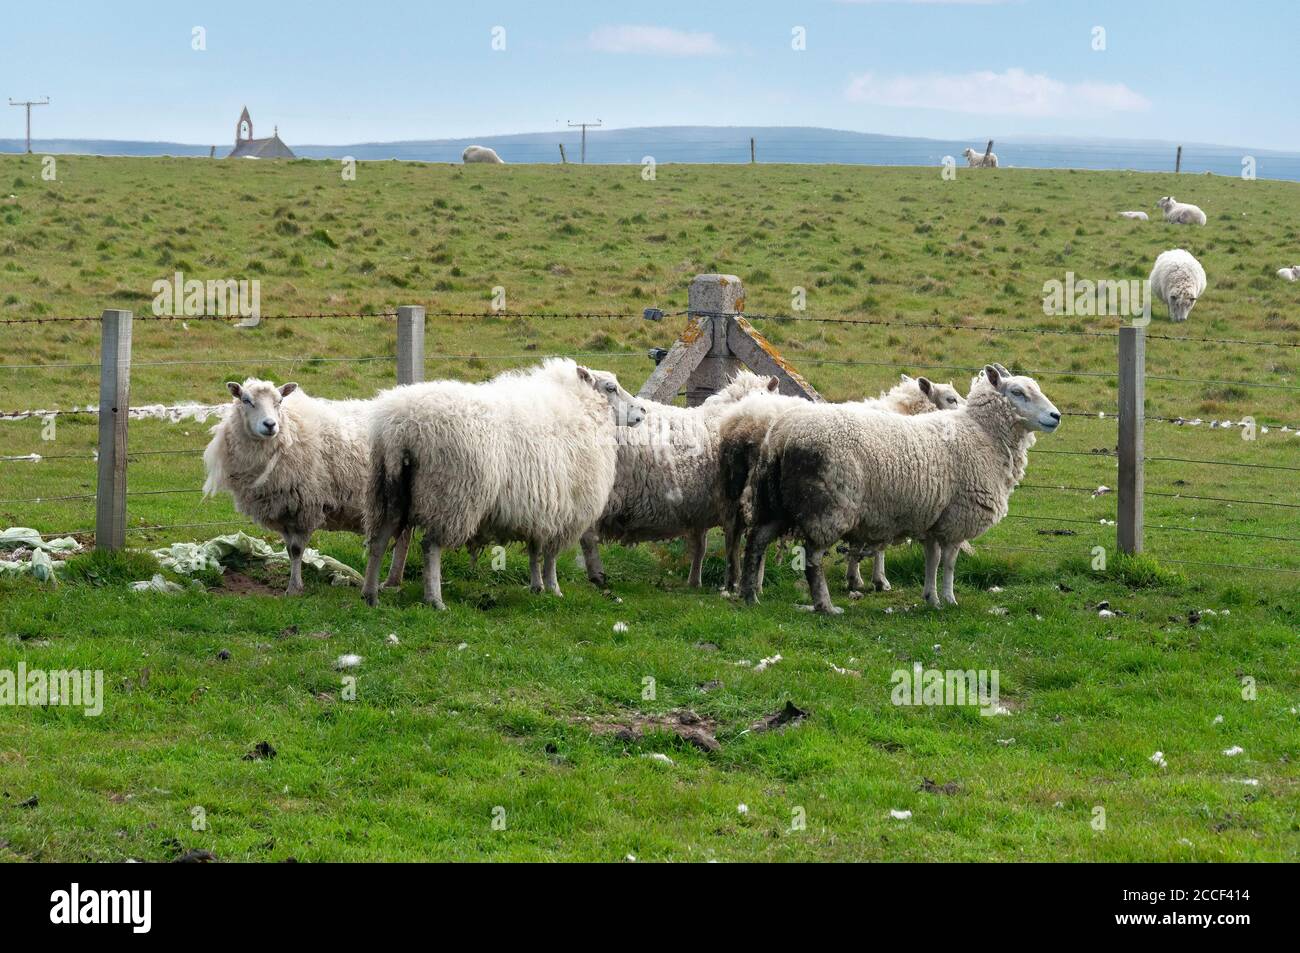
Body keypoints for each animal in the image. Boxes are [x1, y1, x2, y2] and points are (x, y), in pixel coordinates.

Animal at [202, 379, 410, 595]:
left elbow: (296, 550)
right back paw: (392, 582)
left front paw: (294, 588)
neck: (291, 430)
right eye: (246, 400)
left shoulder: (307, 507)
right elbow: (289, 550)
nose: (270, 425)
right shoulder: (284, 510)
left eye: (279, 401)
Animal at [361, 359, 646, 609]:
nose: (642, 412)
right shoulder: (566, 511)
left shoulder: (540, 509)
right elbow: (550, 556)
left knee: (379, 541)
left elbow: (535, 550)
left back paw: (370, 595)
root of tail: (402, 427)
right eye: (611, 387)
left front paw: (537, 587)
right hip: (452, 495)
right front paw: (554, 589)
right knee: (430, 546)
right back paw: (435, 600)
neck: (582, 407)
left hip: (389, 491)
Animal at [578, 370, 778, 590]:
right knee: (587, 537)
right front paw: (739, 583)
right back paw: (596, 575)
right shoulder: (733, 505)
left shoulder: (700, 507)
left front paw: (695, 582)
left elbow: (701, 546)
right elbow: (735, 547)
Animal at [740, 365, 1060, 614]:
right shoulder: (957, 517)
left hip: (774, 502)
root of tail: (781, 435)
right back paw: (825, 605)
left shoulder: (934, 517)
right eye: (1017, 392)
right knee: (813, 558)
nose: (1056, 416)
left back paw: (750, 595)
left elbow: (932, 560)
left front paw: (931, 598)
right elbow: (949, 563)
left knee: (756, 541)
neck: (982, 434)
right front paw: (950, 599)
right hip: (828, 505)